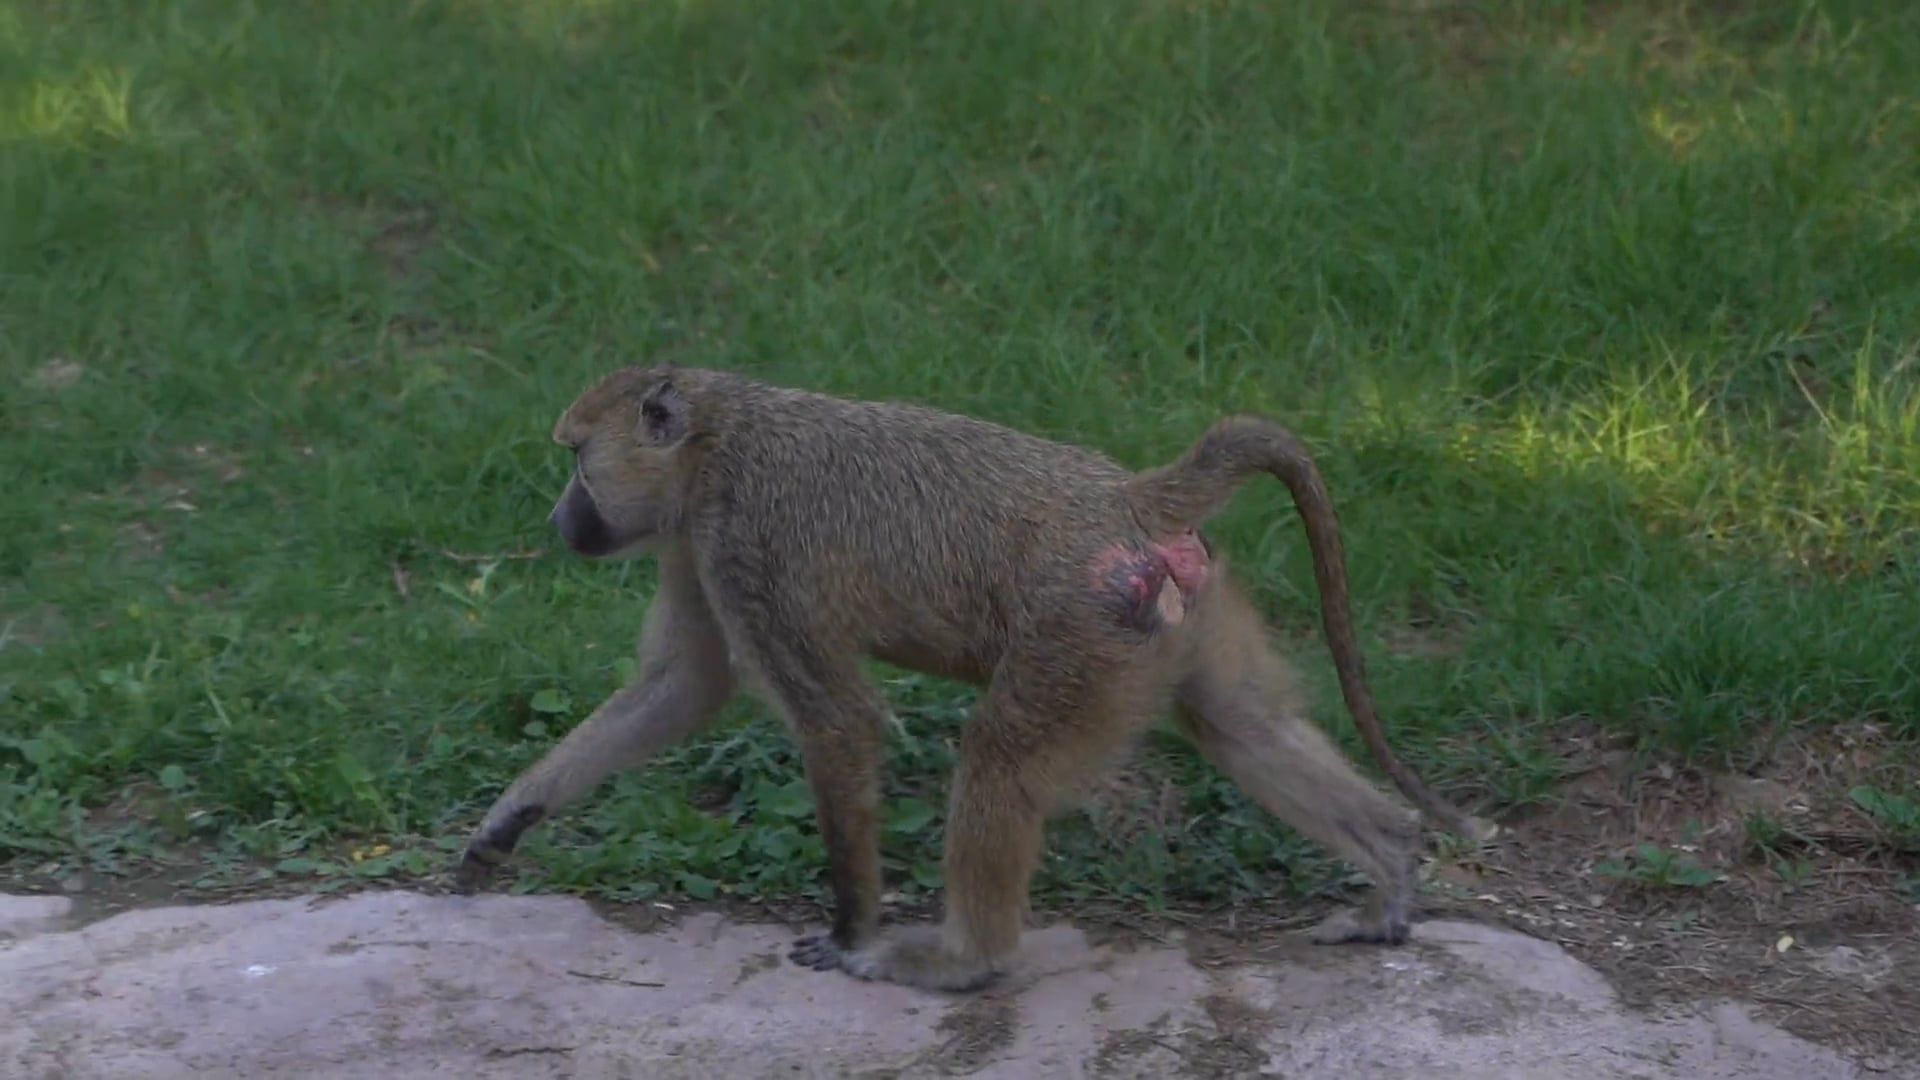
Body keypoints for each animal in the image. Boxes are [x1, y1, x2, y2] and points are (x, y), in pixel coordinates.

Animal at [454, 364, 1492, 993]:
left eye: (576, 458)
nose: (558, 520)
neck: (722, 432)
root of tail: (1127, 497)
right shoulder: (692, 538)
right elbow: (684, 684)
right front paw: (509, 820)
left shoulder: (746, 540)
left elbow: (839, 722)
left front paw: (850, 931)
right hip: (1173, 619)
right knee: (1242, 727)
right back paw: (1392, 859)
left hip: (1079, 632)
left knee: (1000, 756)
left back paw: (964, 962)